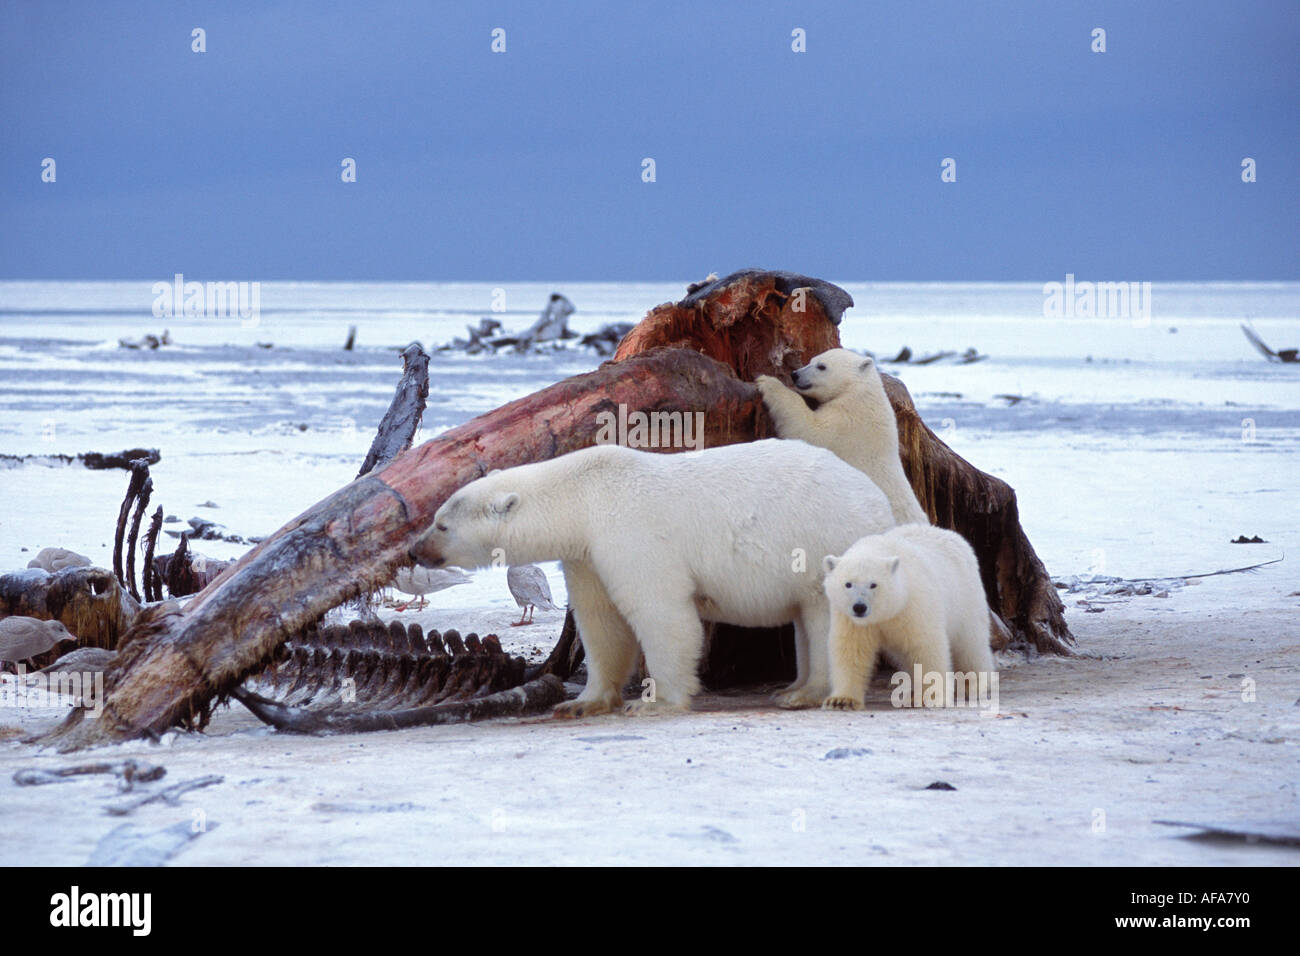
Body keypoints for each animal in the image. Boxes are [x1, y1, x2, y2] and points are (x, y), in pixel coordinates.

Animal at [409, 438, 895, 716]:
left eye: (442, 525)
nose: (415, 549)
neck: (585, 497)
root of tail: (877, 499)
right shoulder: (588, 554)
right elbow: (600, 620)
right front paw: (582, 702)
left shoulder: (631, 532)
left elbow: (659, 611)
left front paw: (656, 701)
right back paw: (791, 686)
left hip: (824, 538)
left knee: (823, 616)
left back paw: (805, 693)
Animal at [756, 348, 929, 526]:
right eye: (811, 360)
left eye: (822, 366)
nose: (795, 374)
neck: (860, 394)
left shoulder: (847, 422)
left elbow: (811, 429)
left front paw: (767, 382)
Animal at [820, 523, 995, 710]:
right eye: (848, 584)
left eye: (873, 584)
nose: (859, 607)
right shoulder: (850, 620)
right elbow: (851, 650)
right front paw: (841, 700)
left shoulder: (914, 606)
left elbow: (926, 646)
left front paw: (931, 696)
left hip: (966, 597)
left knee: (970, 643)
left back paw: (974, 683)